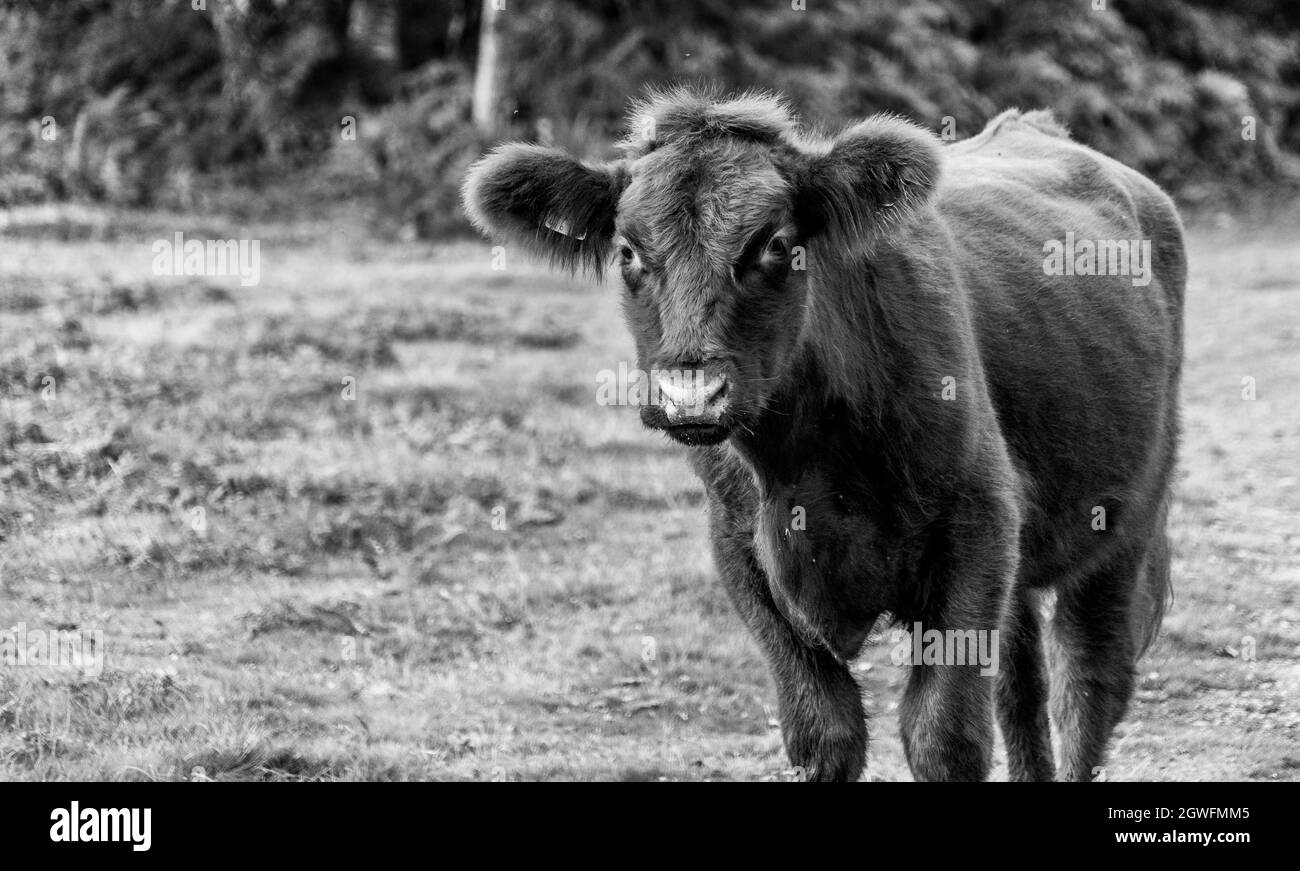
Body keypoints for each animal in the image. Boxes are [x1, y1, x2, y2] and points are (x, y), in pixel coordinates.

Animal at [462, 88, 1185, 782]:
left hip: (1127, 523)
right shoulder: (741, 551)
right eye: (627, 251)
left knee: (1087, 683)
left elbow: (943, 737)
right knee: (1021, 685)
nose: (690, 393)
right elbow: (823, 735)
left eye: (776, 243)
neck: (804, 464)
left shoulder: (976, 531)